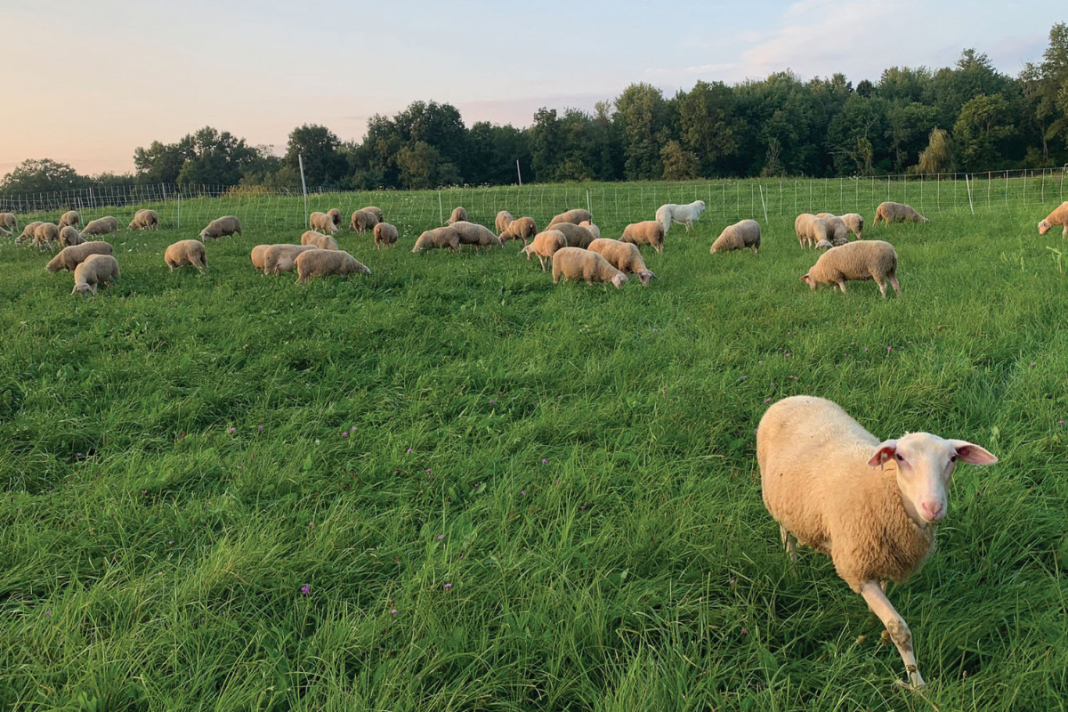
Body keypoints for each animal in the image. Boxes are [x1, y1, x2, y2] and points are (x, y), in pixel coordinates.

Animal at [757, 395, 997, 689]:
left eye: (953, 458)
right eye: (901, 457)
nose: (933, 507)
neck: (882, 487)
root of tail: (793, 397)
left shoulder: (884, 561)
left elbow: (884, 601)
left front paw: (873, 619)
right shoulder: (857, 571)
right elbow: (899, 629)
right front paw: (916, 684)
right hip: (778, 501)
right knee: (786, 536)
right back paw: (792, 570)